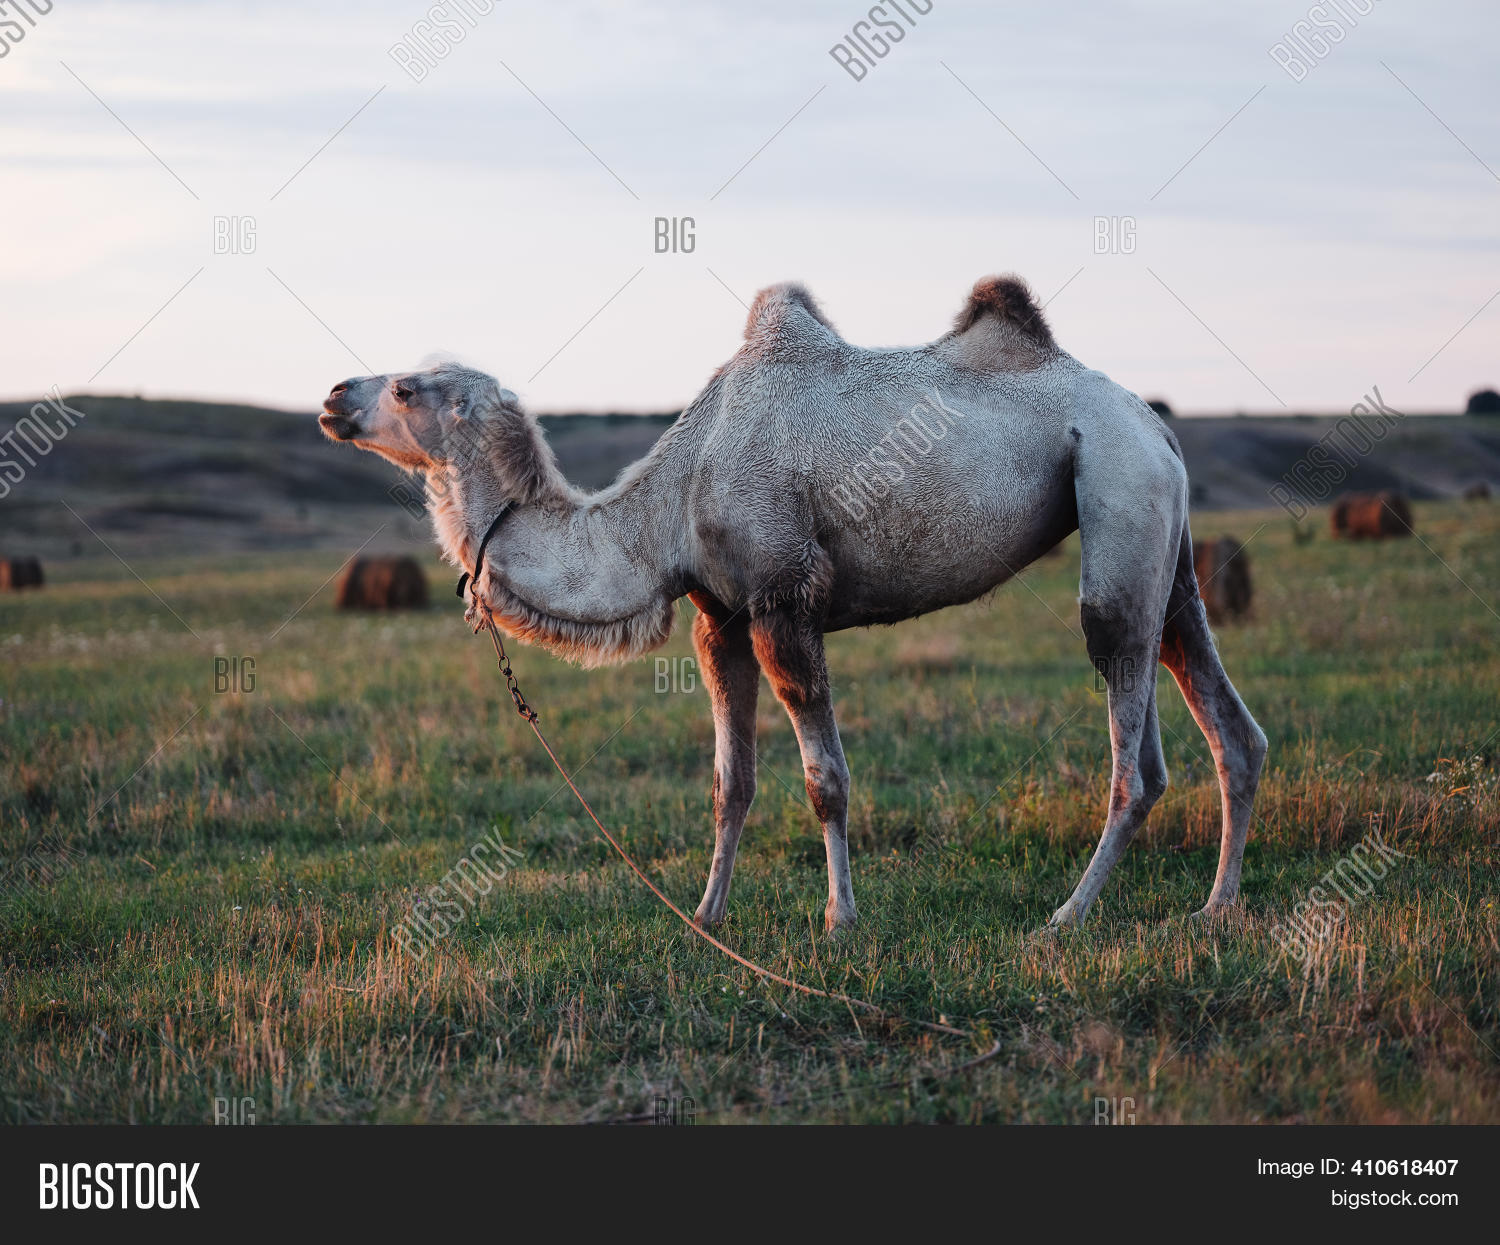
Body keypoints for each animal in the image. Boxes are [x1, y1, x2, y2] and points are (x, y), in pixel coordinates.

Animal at [318, 275, 1267, 933]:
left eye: (407, 388)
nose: (332, 396)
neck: (666, 510)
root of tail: (1155, 422)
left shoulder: (783, 597)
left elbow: (825, 781)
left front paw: (840, 919)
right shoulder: (720, 618)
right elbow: (729, 782)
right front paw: (707, 915)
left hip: (1117, 491)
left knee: (1133, 746)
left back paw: (1066, 916)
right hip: (1164, 544)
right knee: (1226, 720)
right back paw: (1216, 907)